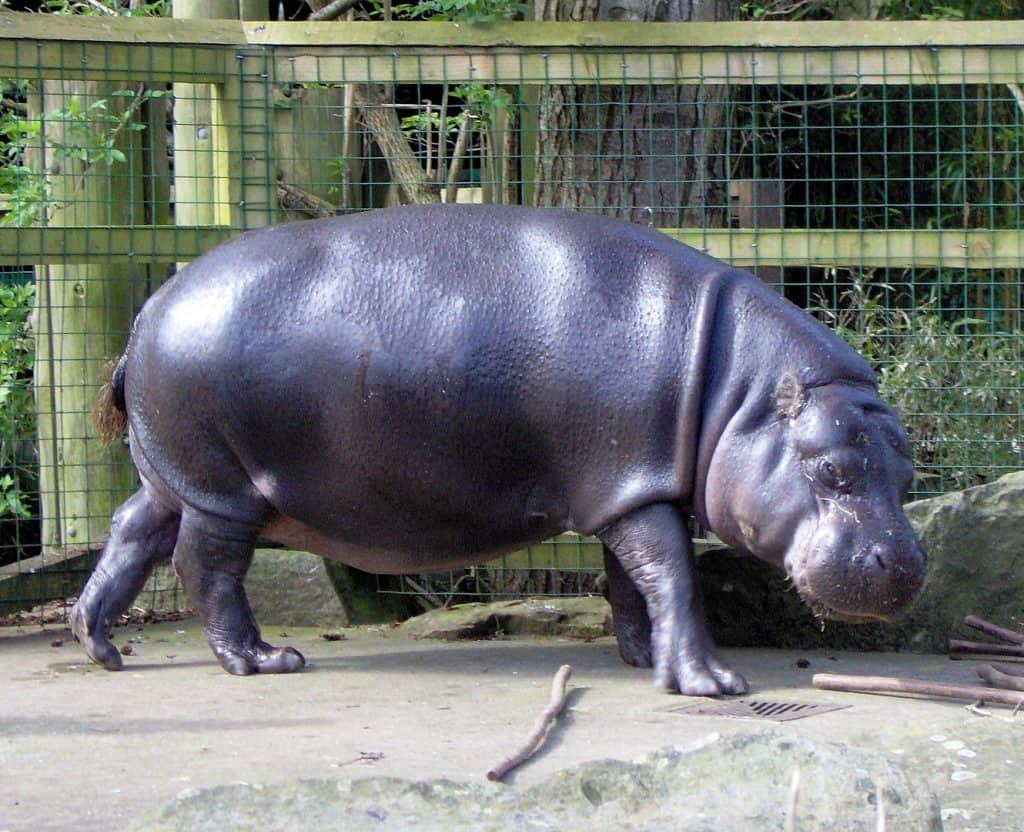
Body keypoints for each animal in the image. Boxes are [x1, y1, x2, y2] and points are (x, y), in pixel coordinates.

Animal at [72, 204, 925, 696]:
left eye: (907, 464)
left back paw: (101, 647)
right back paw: (265, 661)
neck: (736, 393)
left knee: (130, 532)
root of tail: (147, 310)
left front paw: (641, 658)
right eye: (830, 468)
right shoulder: (634, 487)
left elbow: (632, 581)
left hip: (173, 474)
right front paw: (711, 682)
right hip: (224, 486)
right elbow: (673, 574)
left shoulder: (624, 485)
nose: (908, 565)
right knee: (205, 568)